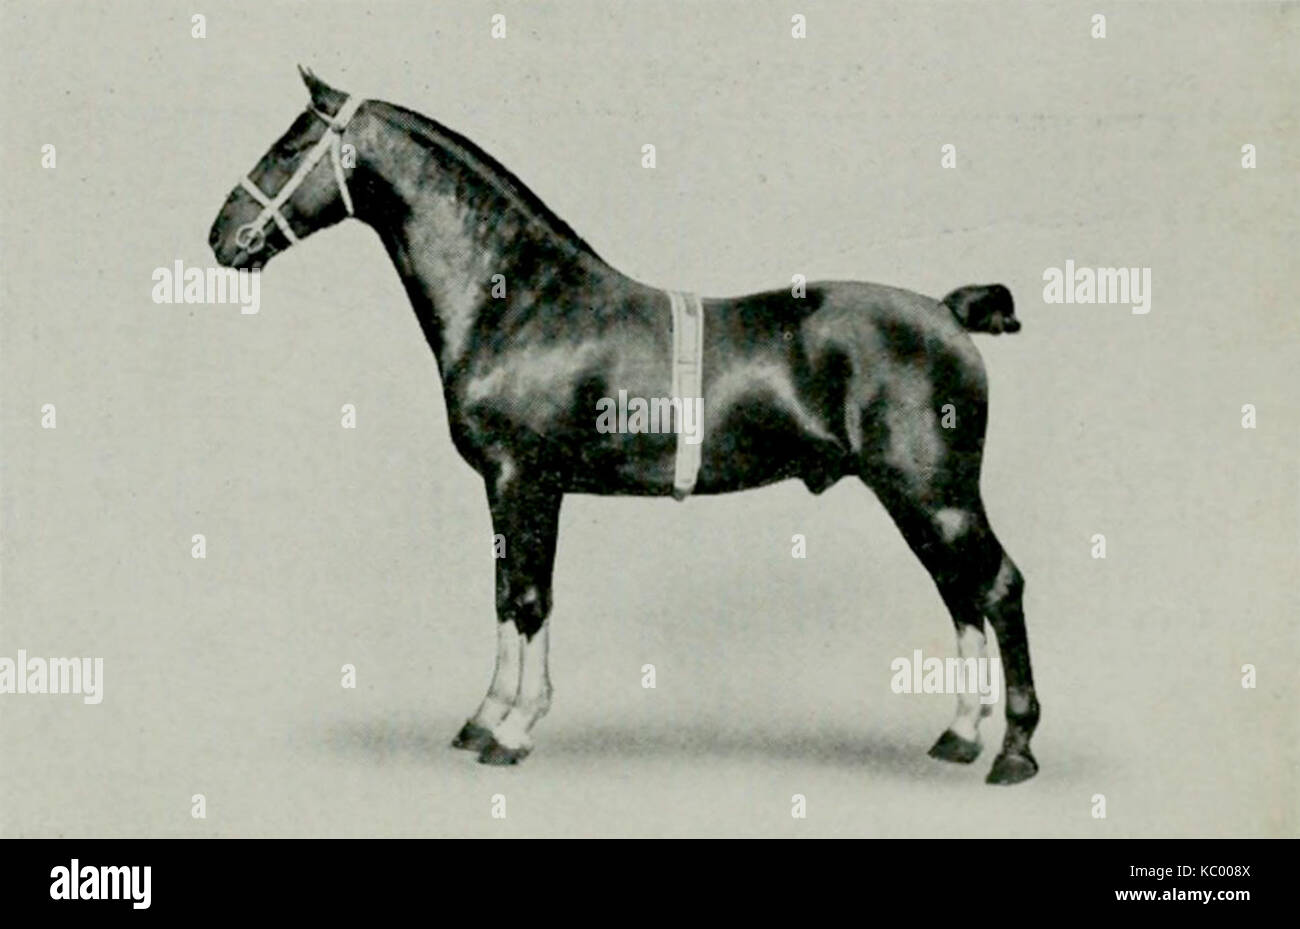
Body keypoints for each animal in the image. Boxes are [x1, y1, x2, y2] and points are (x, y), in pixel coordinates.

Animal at [208, 68, 1041, 785]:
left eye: (289, 147)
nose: (221, 237)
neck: (521, 302)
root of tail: (948, 311)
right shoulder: (510, 490)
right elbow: (505, 596)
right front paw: (483, 717)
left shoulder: (525, 481)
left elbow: (530, 599)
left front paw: (514, 729)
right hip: (917, 498)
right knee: (959, 592)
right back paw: (959, 734)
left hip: (935, 493)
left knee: (997, 585)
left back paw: (1014, 751)